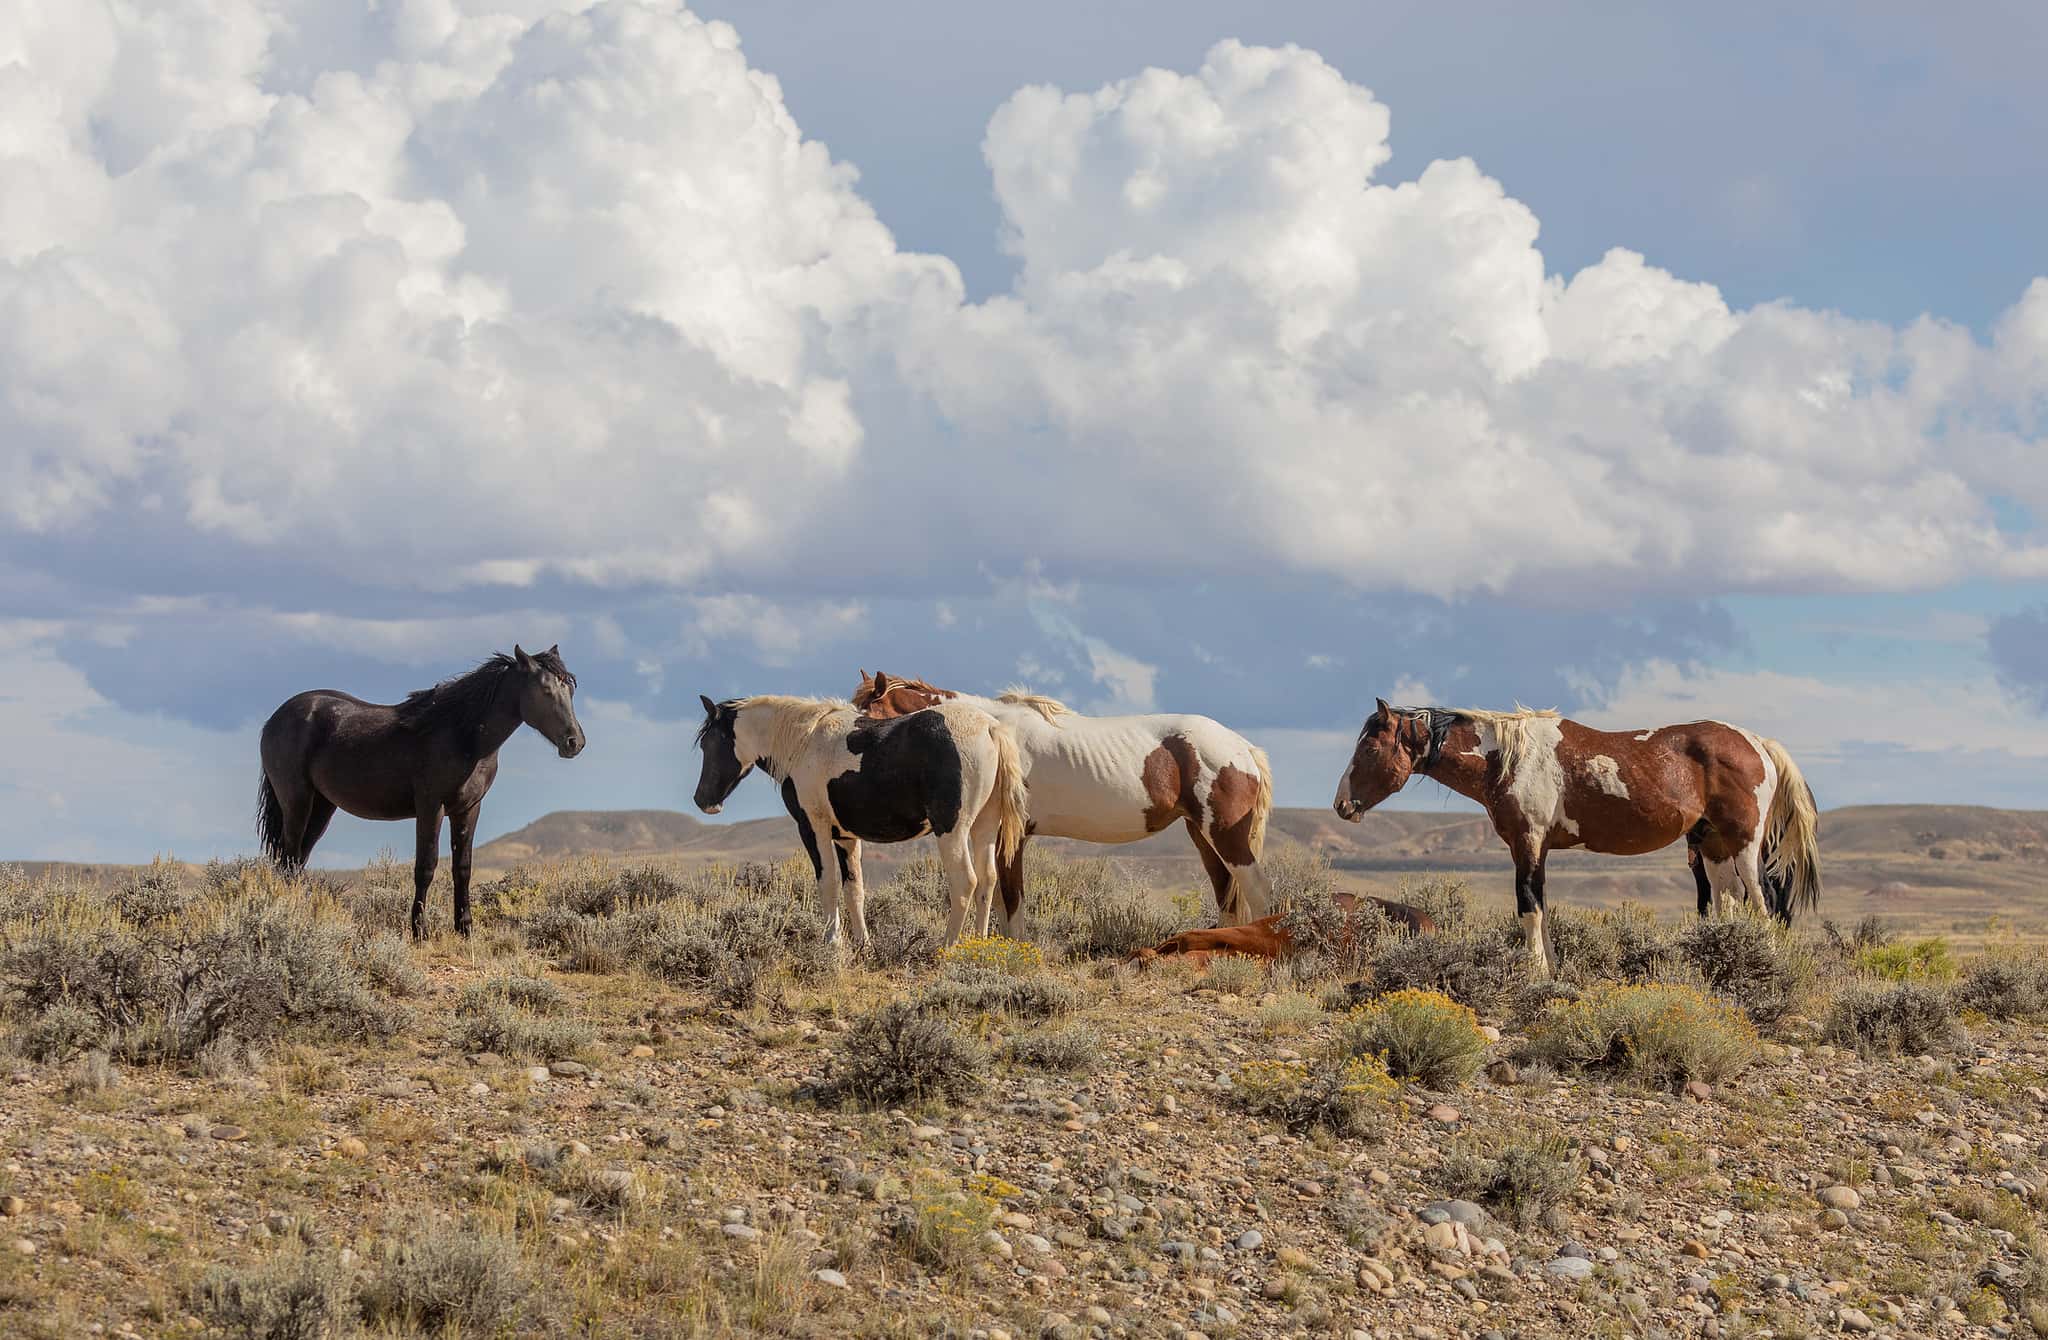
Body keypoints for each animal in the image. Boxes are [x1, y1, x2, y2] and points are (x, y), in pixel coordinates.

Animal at [258, 646, 585, 938]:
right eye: (545, 689)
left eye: (570, 689)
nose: (575, 742)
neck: (463, 736)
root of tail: (276, 717)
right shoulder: (431, 807)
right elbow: (426, 866)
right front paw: (419, 931)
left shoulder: (468, 809)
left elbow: (462, 868)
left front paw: (465, 928)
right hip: (297, 801)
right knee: (288, 857)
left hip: (322, 806)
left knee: (297, 860)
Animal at [692, 694, 1029, 948]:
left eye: (710, 743)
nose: (703, 800)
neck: (804, 743)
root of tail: (990, 728)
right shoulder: (845, 836)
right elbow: (855, 889)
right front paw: (862, 945)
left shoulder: (813, 828)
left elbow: (827, 883)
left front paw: (832, 943)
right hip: (985, 827)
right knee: (987, 880)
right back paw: (977, 944)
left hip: (952, 831)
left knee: (965, 882)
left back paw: (947, 947)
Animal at [852, 671, 1275, 932]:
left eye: (867, 711)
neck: (991, 730)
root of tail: (1243, 748)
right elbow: (1001, 897)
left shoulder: (1011, 837)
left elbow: (1012, 900)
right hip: (1201, 835)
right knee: (1226, 892)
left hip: (1225, 835)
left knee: (1257, 890)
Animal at [1333, 700, 1821, 979]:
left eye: (1371, 748)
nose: (1341, 805)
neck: (1506, 758)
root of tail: (1758, 743)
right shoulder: (1538, 848)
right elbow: (1543, 908)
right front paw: (1549, 969)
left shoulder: (1527, 843)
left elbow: (1529, 908)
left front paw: (1533, 970)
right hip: (1712, 845)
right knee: (1728, 902)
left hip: (1743, 844)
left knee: (1764, 902)